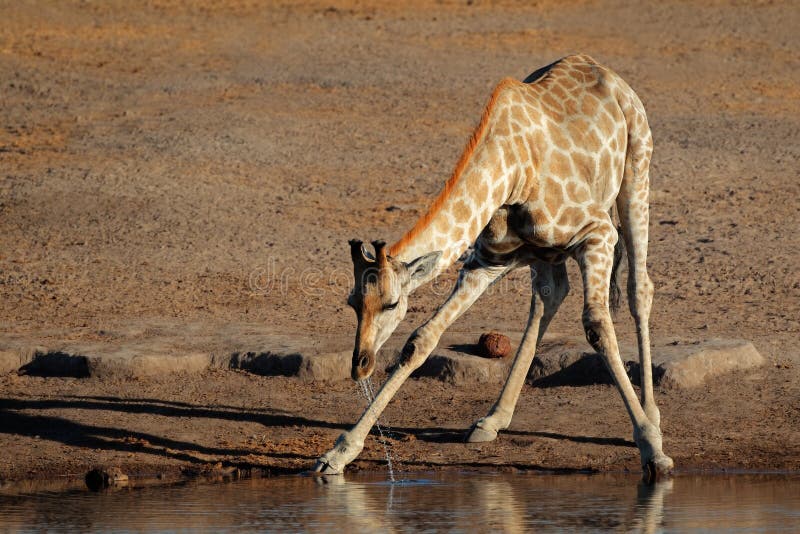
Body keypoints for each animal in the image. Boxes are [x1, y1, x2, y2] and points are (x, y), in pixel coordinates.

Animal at [314, 54, 673, 481]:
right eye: (352, 302)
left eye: (391, 304)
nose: (360, 364)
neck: (512, 172)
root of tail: (606, 72)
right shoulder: (486, 261)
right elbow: (421, 339)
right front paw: (338, 453)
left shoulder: (597, 234)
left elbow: (598, 328)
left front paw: (652, 449)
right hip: (542, 254)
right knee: (549, 298)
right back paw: (493, 419)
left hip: (636, 176)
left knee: (639, 289)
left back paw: (652, 415)